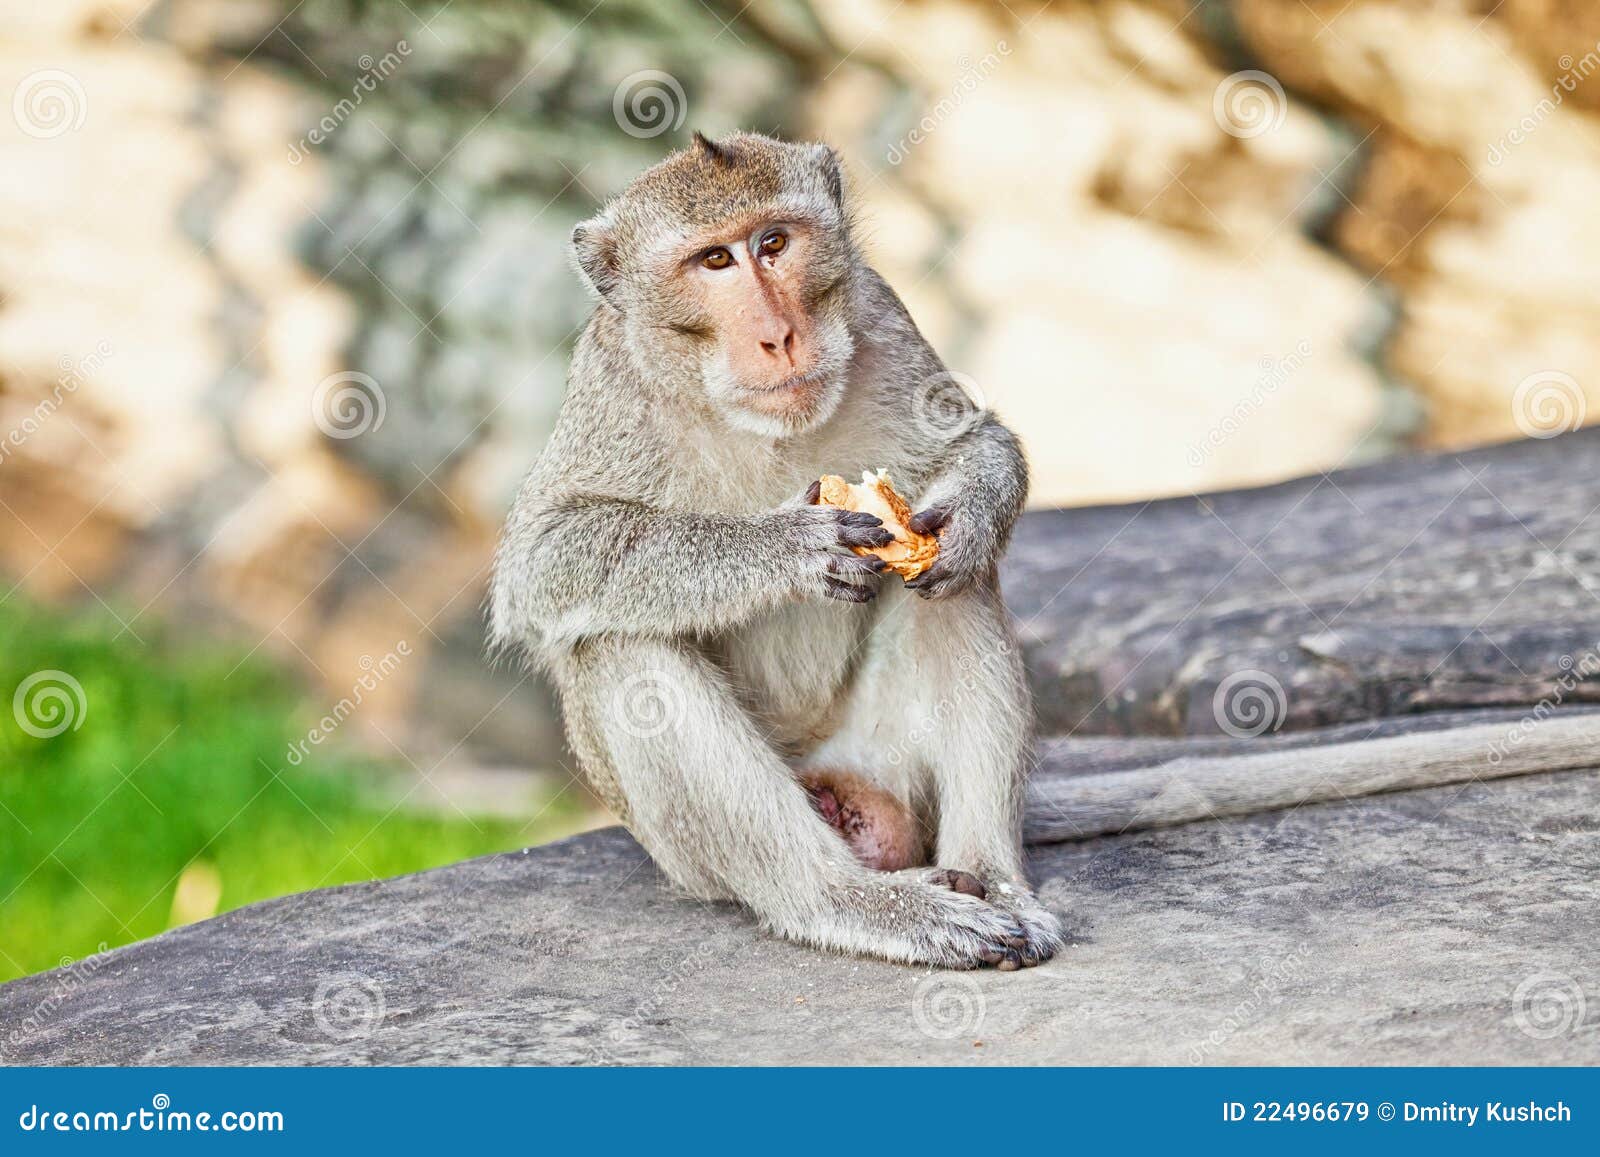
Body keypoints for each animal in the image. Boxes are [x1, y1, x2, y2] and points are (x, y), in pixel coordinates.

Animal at [490, 130, 1059, 970]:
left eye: (775, 243)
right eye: (714, 261)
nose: (779, 334)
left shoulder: (879, 309)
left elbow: (972, 447)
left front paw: (972, 507)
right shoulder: (613, 384)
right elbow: (543, 558)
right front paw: (784, 546)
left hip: (882, 759)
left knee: (957, 587)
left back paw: (993, 878)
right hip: (686, 857)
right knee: (619, 642)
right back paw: (848, 900)